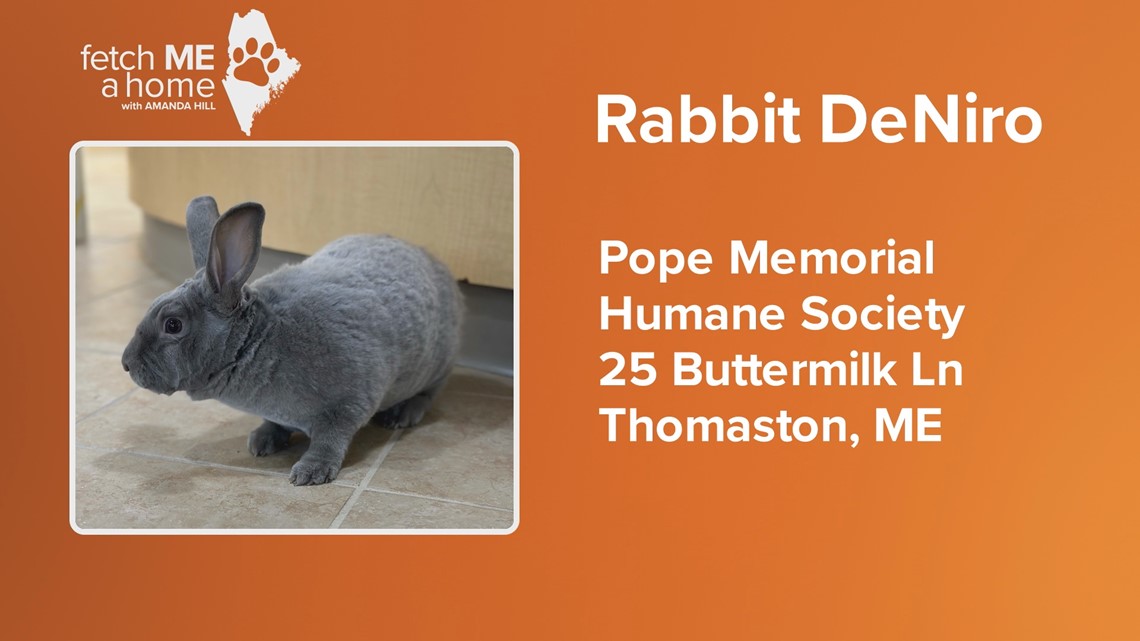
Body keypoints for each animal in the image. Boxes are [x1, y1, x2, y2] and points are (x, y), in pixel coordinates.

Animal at [121, 196, 463, 486]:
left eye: (173, 324)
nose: (126, 363)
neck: (260, 340)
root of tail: (436, 264)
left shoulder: (348, 404)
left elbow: (331, 439)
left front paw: (310, 473)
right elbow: (275, 424)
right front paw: (261, 441)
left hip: (437, 365)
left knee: (429, 394)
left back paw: (403, 414)